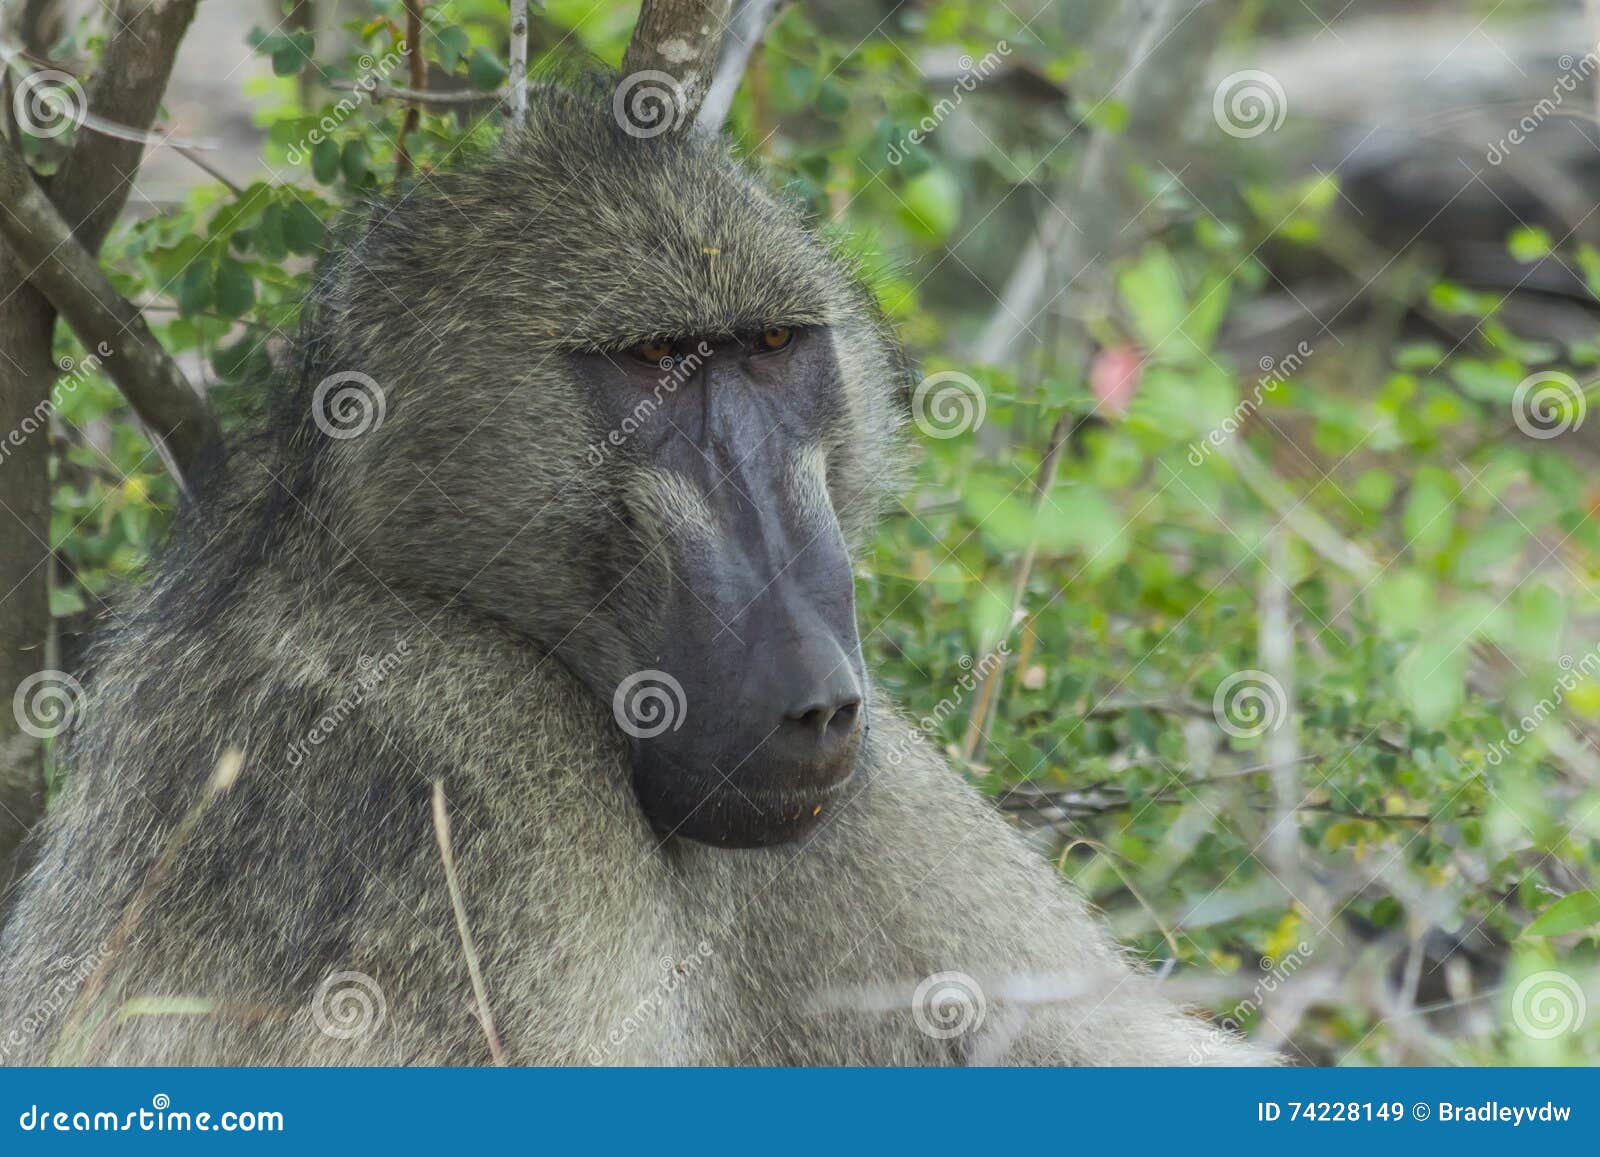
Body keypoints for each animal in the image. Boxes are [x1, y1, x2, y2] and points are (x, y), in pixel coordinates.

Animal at [0, 84, 1270, 1066]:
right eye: (655, 361)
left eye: (771, 349)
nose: (815, 696)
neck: (429, 580)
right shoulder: (455, 758)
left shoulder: (855, 793)